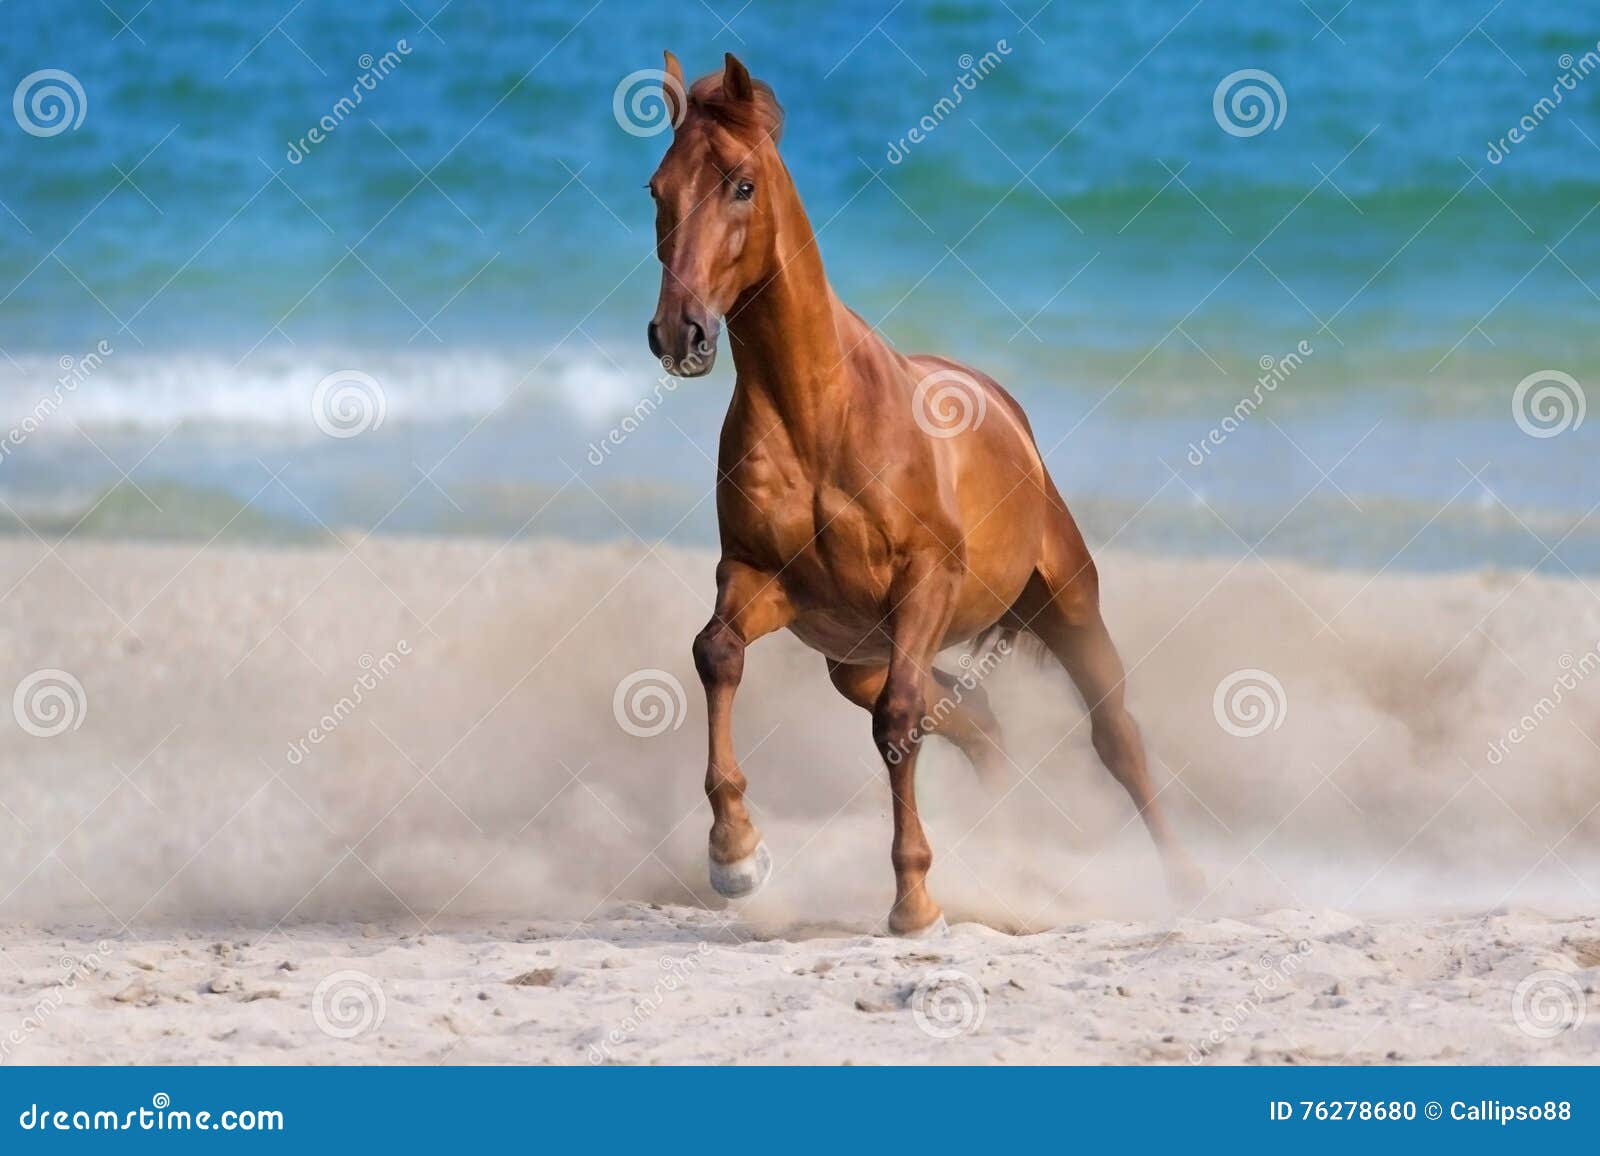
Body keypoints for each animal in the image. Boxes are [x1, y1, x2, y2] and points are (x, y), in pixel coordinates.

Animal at [644, 52, 1201, 936]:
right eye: (656, 189)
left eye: (740, 185)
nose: (679, 333)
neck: (819, 415)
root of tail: (1003, 407)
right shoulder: (760, 579)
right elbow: (716, 654)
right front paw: (735, 855)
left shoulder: (923, 583)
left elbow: (900, 724)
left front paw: (913, 900)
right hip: (854, 660)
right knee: (979, 725)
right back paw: (1008, 859)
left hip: (1066, 606)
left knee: (1115, 736)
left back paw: (1186, 883)